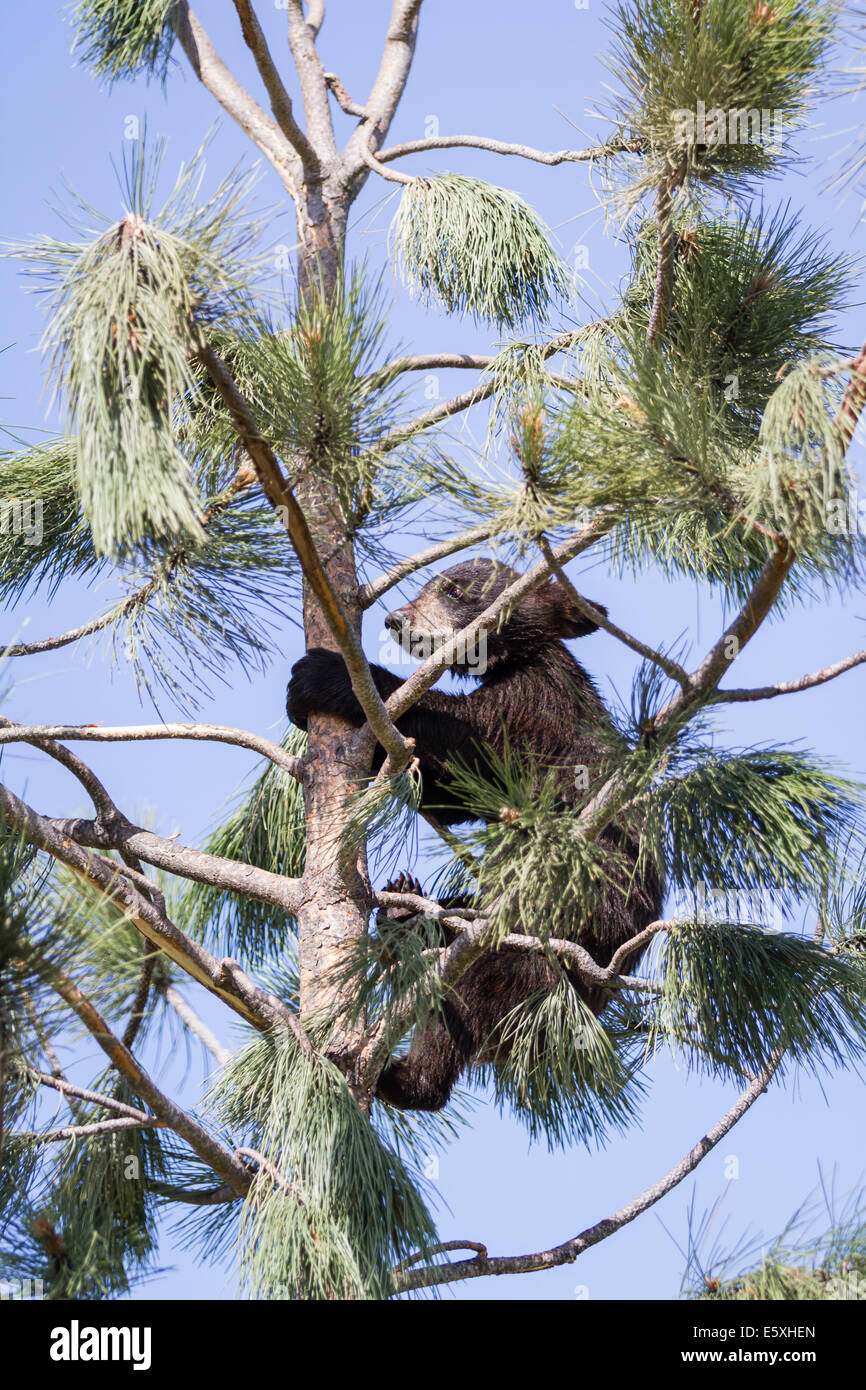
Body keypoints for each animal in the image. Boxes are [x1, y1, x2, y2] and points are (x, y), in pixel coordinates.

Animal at [287, 557, 663, 1110]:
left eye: (455, 589)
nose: (396, 619)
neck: (516, 658)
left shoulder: (533, 705)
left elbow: (462, 734)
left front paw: (322, 675)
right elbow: (450, 792)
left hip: (536, 950)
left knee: (465, 1000)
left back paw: (401, 1073)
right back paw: (406, 913)